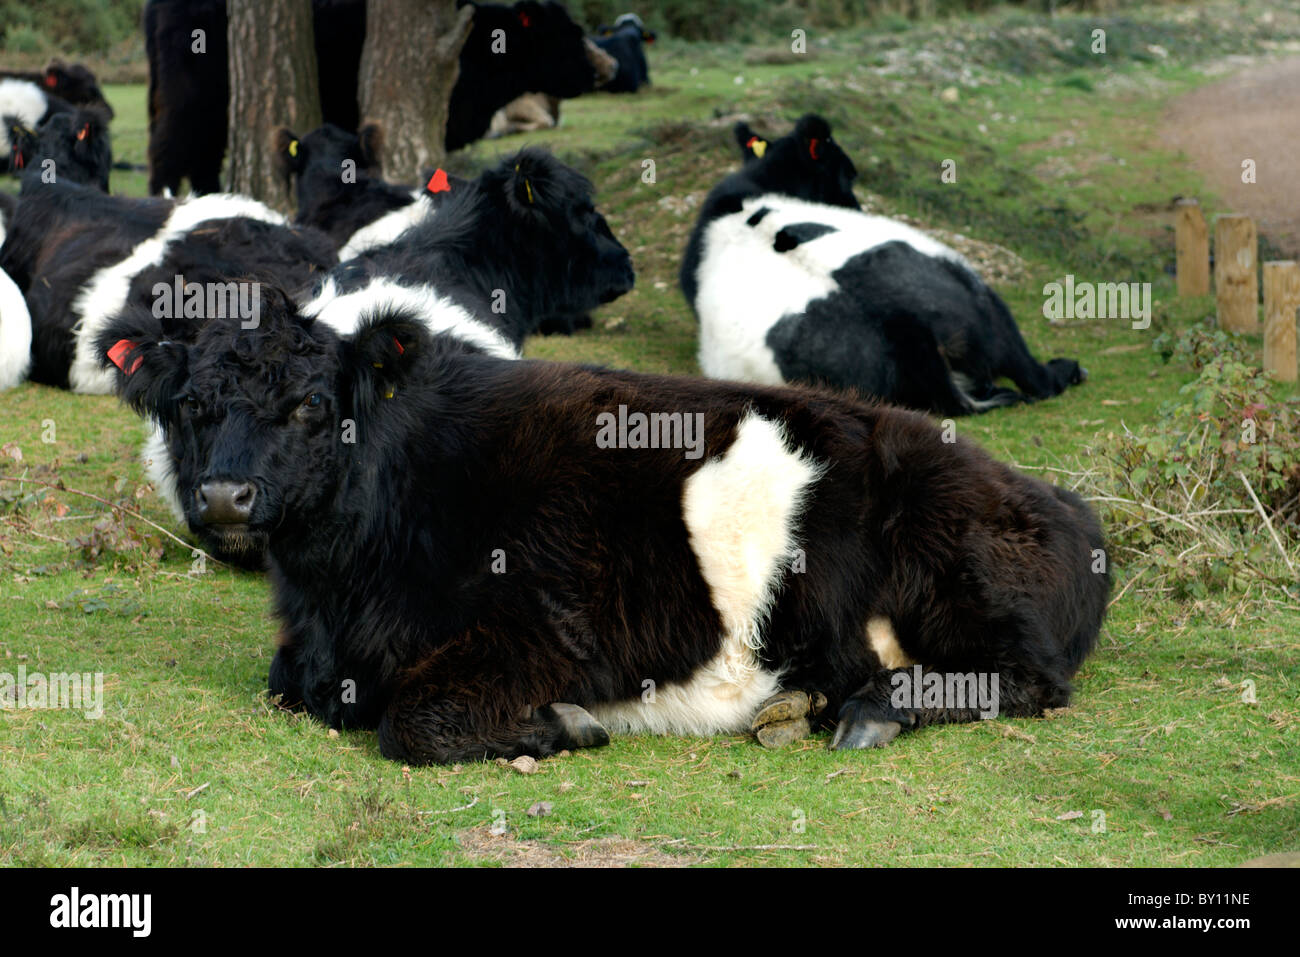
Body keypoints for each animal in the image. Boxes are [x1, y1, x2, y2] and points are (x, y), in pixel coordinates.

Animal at [96, 283, 1110, 764]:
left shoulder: (548, 630)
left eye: (312, 404)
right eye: (190, 405)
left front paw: (559, 726)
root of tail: (1062, 500)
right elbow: (293, 685)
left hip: (956, 566)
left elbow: (413, 719)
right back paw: (803, 704)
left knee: (1028, 677)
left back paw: (868, 711)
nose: (224, 497)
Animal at [681, 115, 1087, 416]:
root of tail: (906, 325)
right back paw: (1070, 369)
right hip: (978, 292)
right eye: (849, 173)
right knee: (1035, 378)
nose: (857, 207)